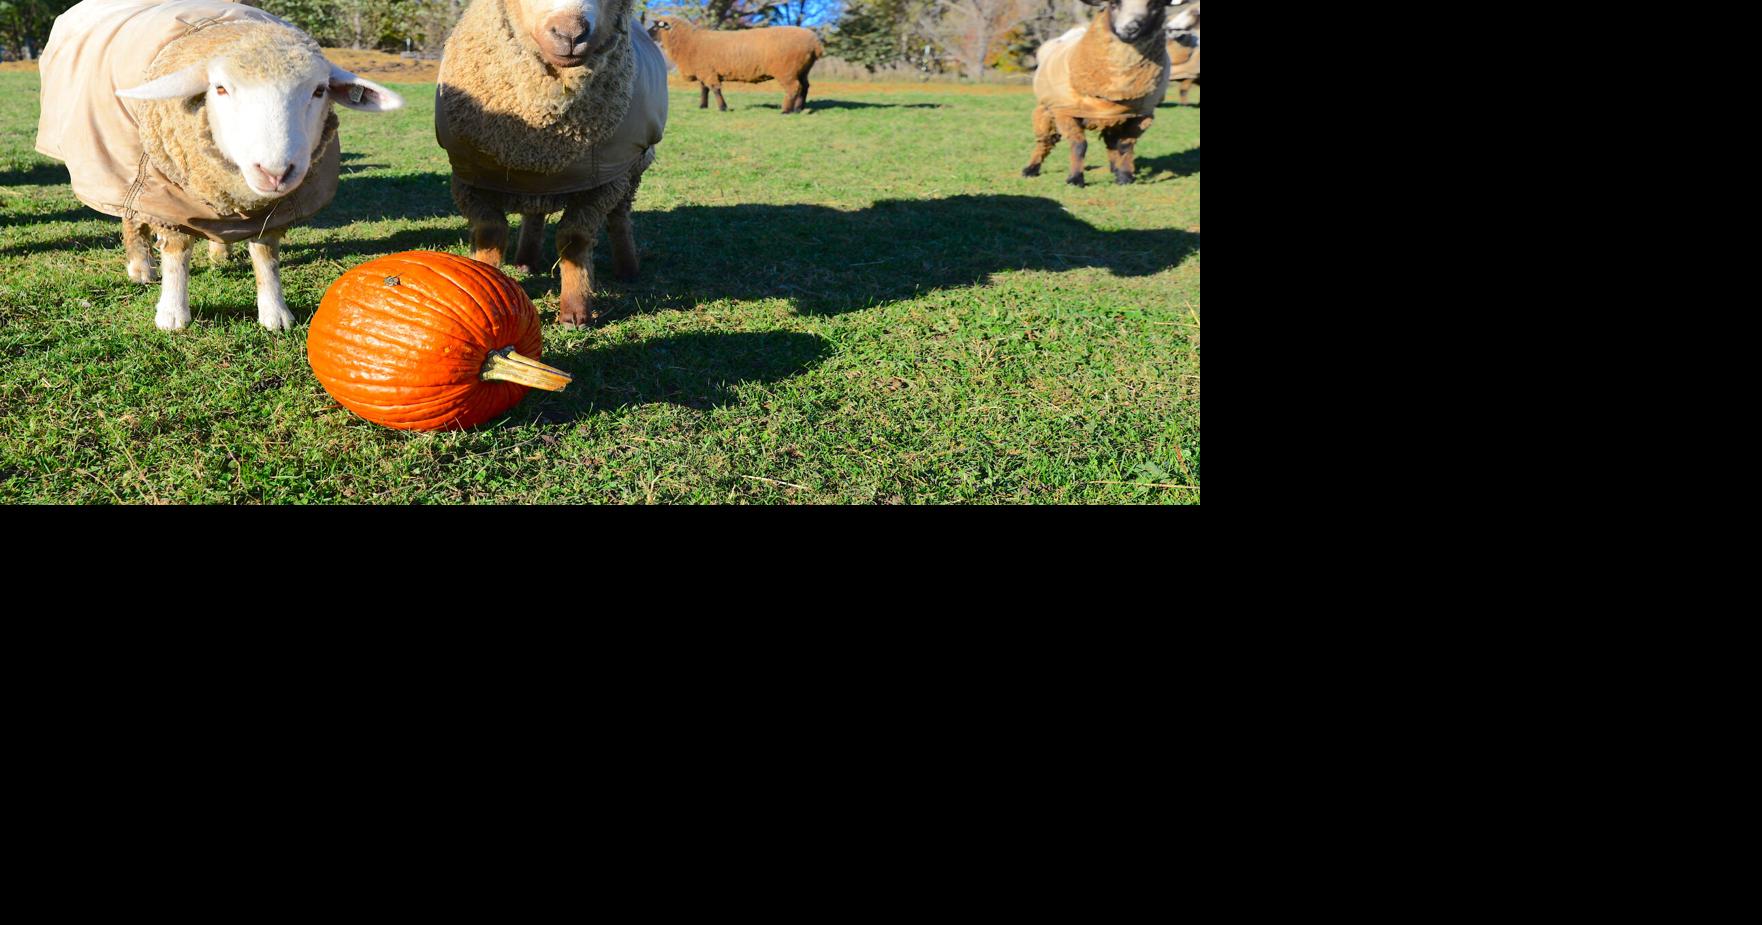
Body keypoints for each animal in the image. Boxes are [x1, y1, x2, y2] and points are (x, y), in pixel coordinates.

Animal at [33, 0, 403, 332]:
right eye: (221, 89)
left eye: (320, 90)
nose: (275, 172)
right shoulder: (168, 197)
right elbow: (177, 252)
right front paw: (172, 314)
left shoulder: (270, 208)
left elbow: (266, 255)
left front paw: (275, 314)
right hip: (126, 164)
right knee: (131, 212)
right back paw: (141, 267)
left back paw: (219, 251)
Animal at [436, 0, 668, 327]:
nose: (570, 34)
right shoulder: (469, 178)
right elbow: (490, 232)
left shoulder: (602, 182)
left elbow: (574, 238)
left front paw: (575, 311)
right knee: (535, 215)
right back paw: (525, 261)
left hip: (631, 168)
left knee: (619, 217)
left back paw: (627, 268)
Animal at [645, 16, 823, 115]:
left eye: (656, 26)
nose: (646, 34)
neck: (689, 41)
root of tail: (815, 42)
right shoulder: (703, 71)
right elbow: (704, 89)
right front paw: (703, 106)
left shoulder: (708, 71)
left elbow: (715, 89)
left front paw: (722, 108)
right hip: (802, 69)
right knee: (805, 87)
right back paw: (799, 109)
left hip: (787, 70)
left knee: (793, 88)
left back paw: (786, 111)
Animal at [1022, 0, 1171, 187]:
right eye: (1113, 5)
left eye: (1155, 6)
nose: (1130, 29)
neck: (1118, 85)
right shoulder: (1064, 111)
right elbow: (1079, 145)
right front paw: (1075, 179)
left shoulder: (1141, 115)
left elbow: (1126, 145)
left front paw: (1124, 176)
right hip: (1046, 109)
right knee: (1045, 140)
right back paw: (1031, 169)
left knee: (1112, 142)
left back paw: (1115, 168)